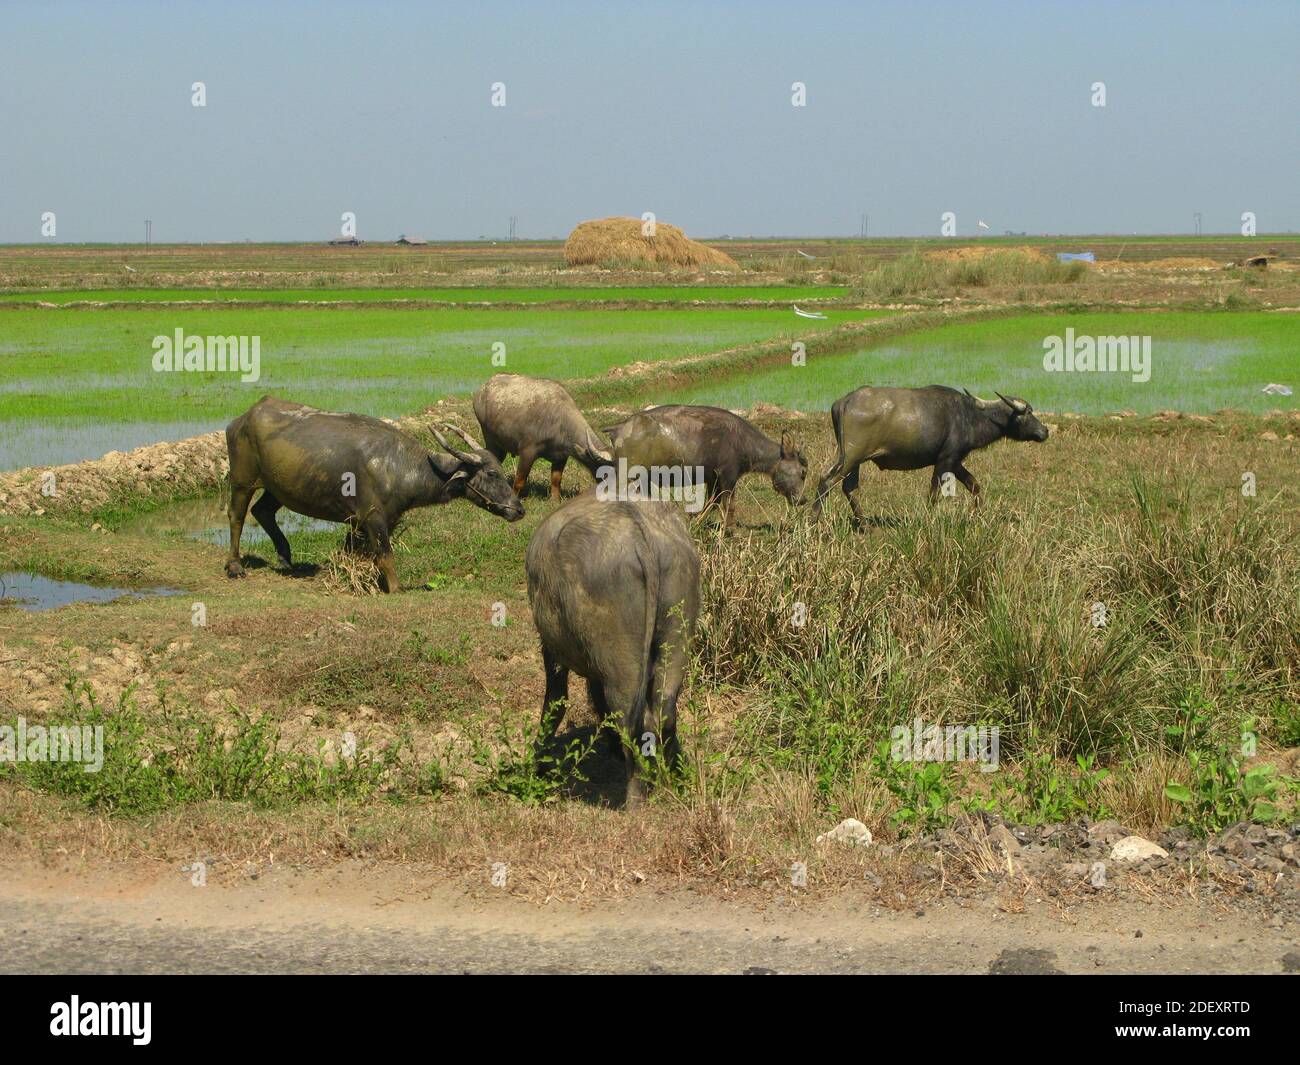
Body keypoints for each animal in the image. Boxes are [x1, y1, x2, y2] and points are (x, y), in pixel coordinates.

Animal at [224, 396, 523, 592]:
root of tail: (243, 418)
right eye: (491, 474)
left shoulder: (375, 520)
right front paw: (395, 588)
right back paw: (235, 566)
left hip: (278, 487)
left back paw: (286, 559)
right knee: (237, 516)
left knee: (262, 511)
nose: (518, 509)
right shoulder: (373, 517)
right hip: (242, 481)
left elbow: (365, 553)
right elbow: (386, 555)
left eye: (500, 469)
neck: (400, 467)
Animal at [473, 373, 613, 501]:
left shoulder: (561, 456)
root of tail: (482, 390)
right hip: (491, 440)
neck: (560, 422)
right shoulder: (527, 452)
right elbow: (520, 480)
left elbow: (556, 479)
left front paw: (555, 500)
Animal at [525, 492, 700, 807]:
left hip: (619, 659)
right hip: (678, 624)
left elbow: (556, 699)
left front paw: (538, 765)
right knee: (664, 709)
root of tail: (641, 538)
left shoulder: (552, 649)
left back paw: (635, 796)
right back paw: (678, 776)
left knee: (629, 717)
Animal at [604, 404, 807, 526]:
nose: (802, 500)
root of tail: (618, 428)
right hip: (627, 474)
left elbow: (712, 503)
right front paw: (729, 533)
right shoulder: (728, 476)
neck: (744, 444)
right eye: (803, 472)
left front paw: (696, 522)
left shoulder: (713, 479)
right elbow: (729, 506)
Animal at [813, 386, 1049, 523]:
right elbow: (934, 493)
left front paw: (979, 513)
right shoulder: (946, 460)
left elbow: (974, 484)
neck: (969, 416)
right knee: (827, 480)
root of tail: (841, 403)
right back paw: (814, 520)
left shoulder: (955, 460)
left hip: (856, 460)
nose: (1045, 431)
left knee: (849, 487)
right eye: (1028, 412)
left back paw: (866, 525)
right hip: (850, 456)